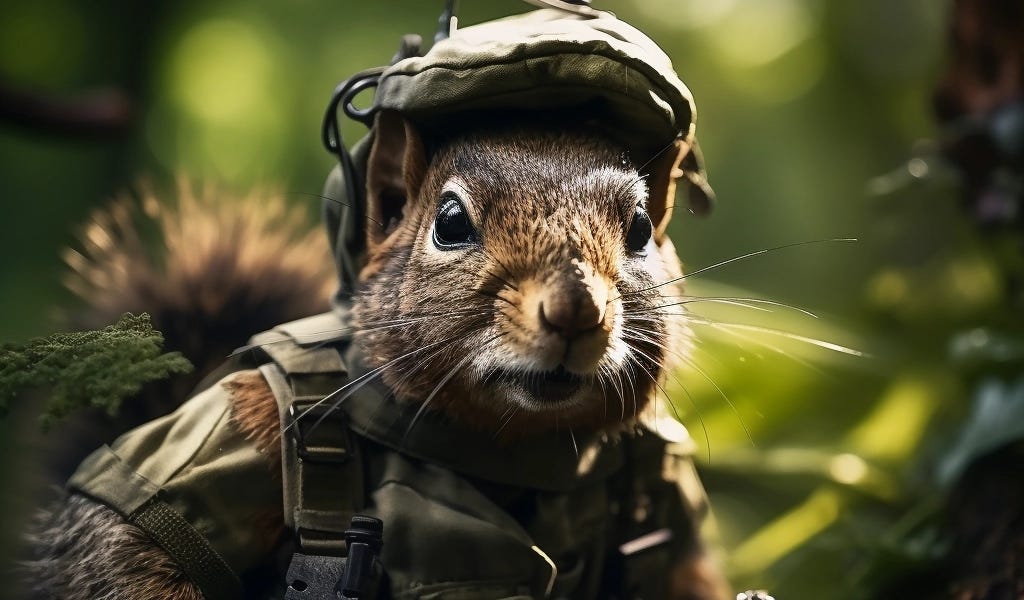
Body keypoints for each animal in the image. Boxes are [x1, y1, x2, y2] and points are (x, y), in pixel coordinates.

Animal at [22, 108, 732, 599]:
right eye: (449, 222)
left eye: (641, 229)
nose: (576, 310)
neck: (507, 452)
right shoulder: (252, 413)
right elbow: (123, 545)